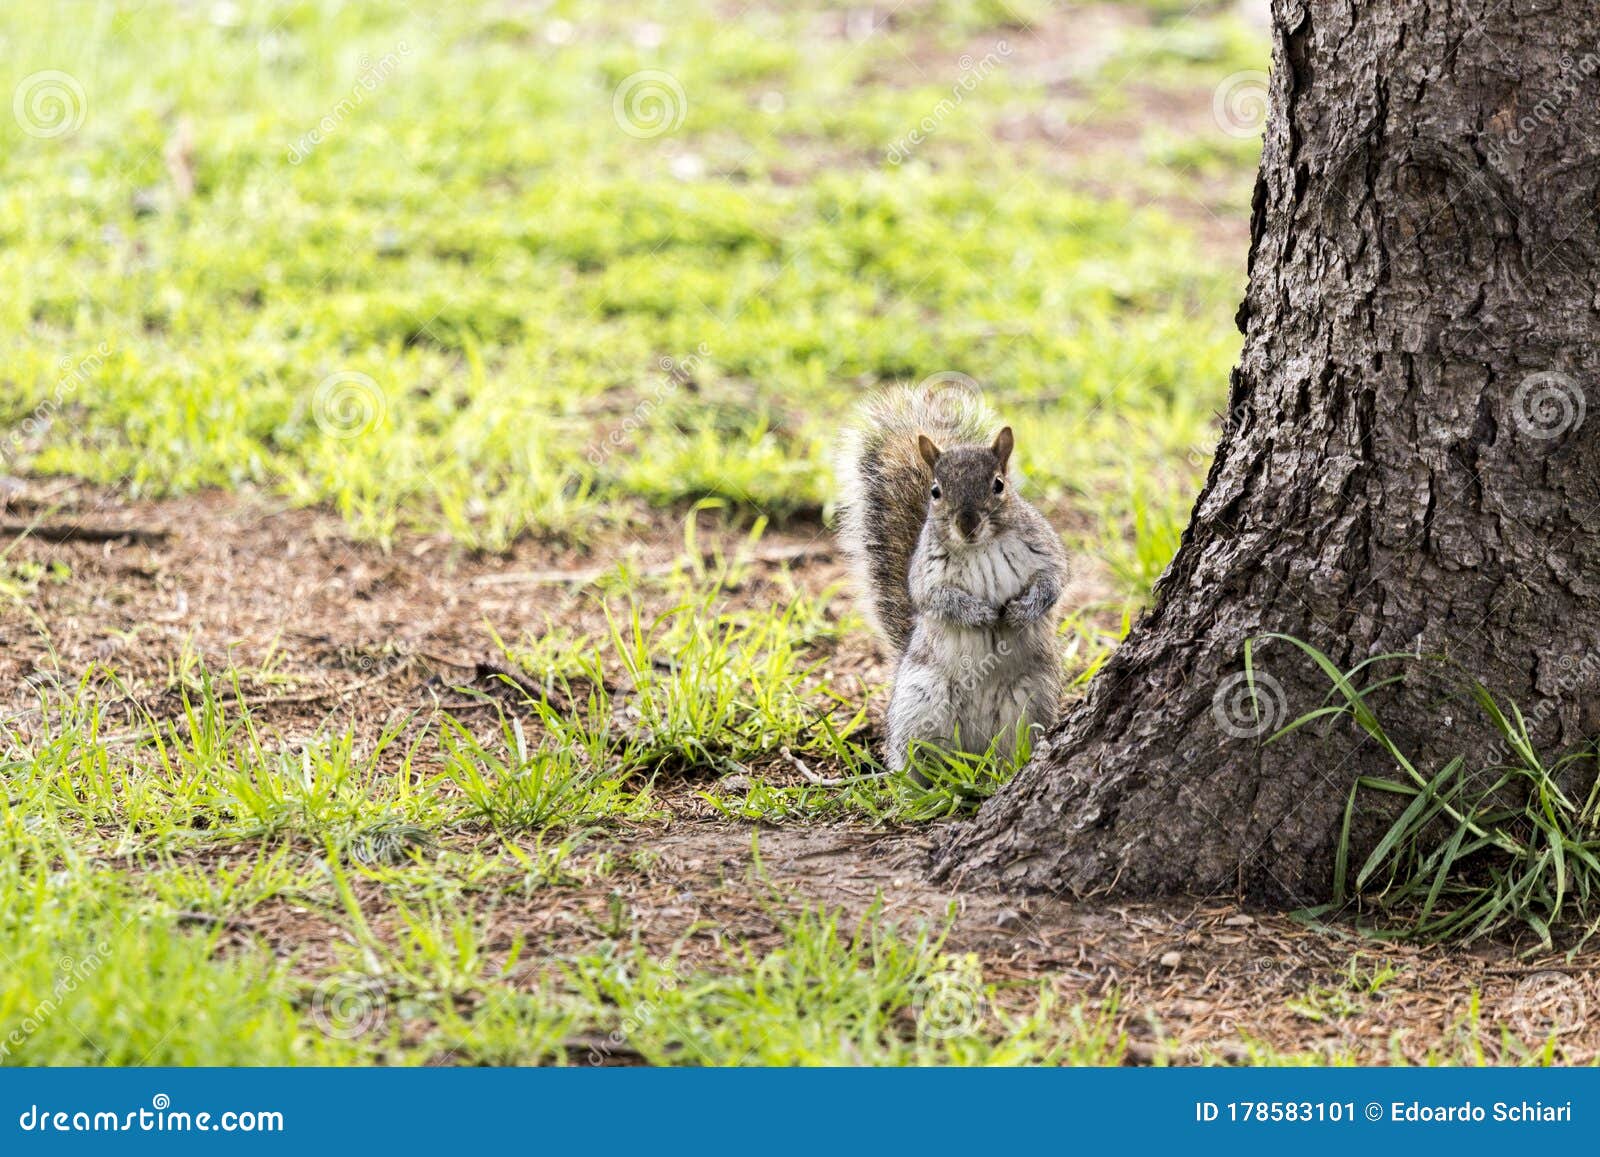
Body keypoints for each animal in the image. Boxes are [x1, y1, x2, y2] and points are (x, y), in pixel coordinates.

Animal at [835, 385, 1068, 776]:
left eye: (998, 485)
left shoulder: (1047, 552)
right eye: (935, 491)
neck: (979, 546)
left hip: (1030, 702)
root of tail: (974, 752)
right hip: (920, 703)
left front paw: (1021, 611)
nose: (967, 524)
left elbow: (1053, 583)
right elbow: (938, 600)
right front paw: (980, 615)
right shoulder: (927, 577)